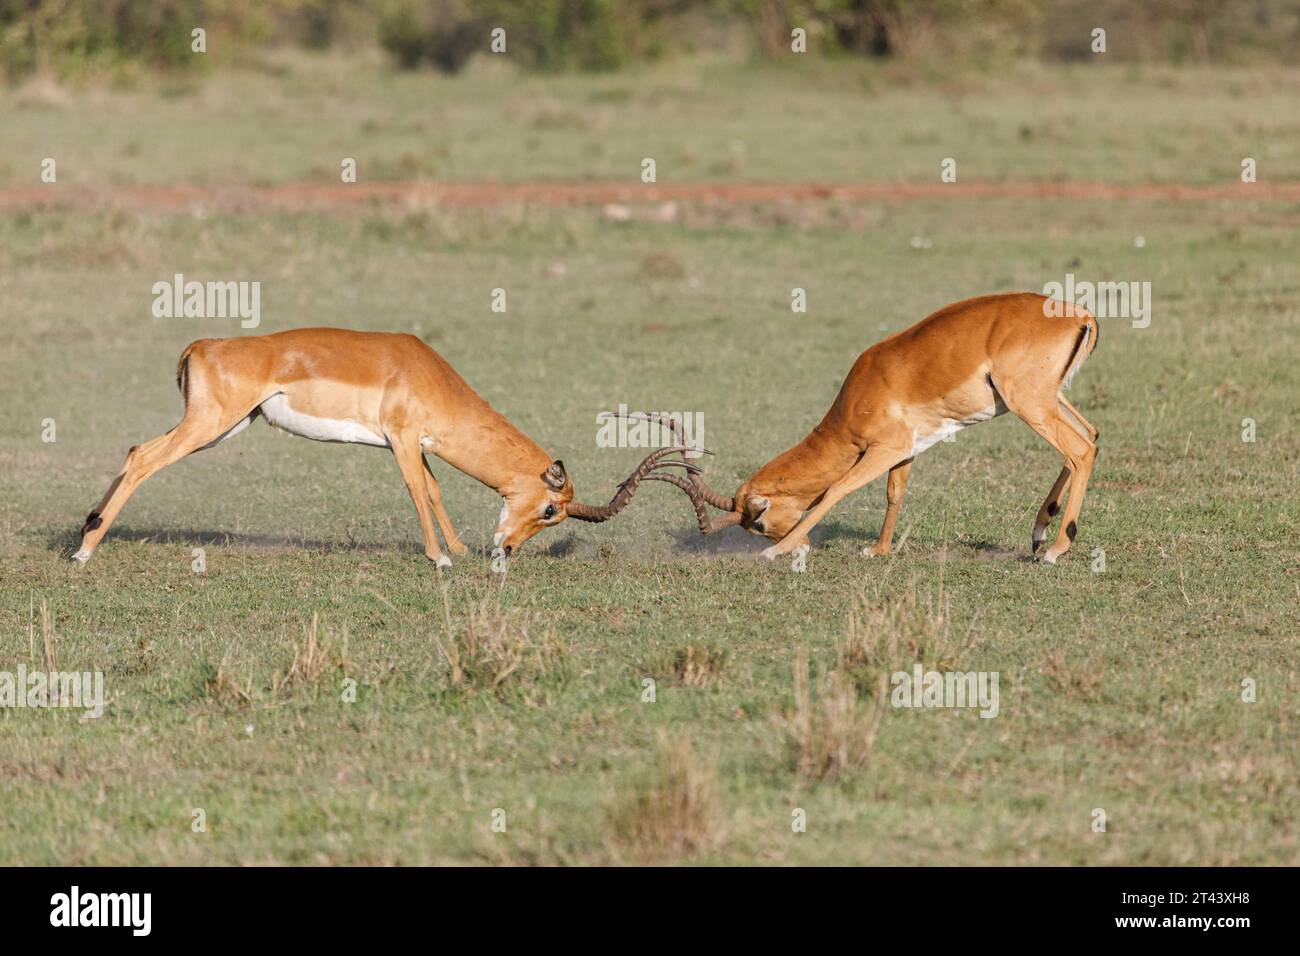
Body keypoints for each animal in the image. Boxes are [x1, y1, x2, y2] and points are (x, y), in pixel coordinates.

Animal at [73, 328, 682, 566]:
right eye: (551, 509)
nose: (505, 549)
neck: (429, 374)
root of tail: (202, 345)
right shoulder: (403, 440)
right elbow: (416, 490)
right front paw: (440, 558)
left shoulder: (413, 444)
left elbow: (433, 489)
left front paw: (458, 550)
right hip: (210, 426)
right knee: (144, 459)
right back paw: (84, 550)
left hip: (222, 427)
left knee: (134, 450)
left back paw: (86, 529)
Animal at [644, 293, 1101, 564]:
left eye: (757, 523)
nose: (800, 543)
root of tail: (1080, 315)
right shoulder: (907, 450)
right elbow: (893, 494)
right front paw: (878, 550)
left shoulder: (885, 448)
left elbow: (836, 489)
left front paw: (777, 551)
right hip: (1049, 400)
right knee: (1091, 436)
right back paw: (1039, 536)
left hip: (1030, 404)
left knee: (1079, 450)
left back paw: (1055, 548)